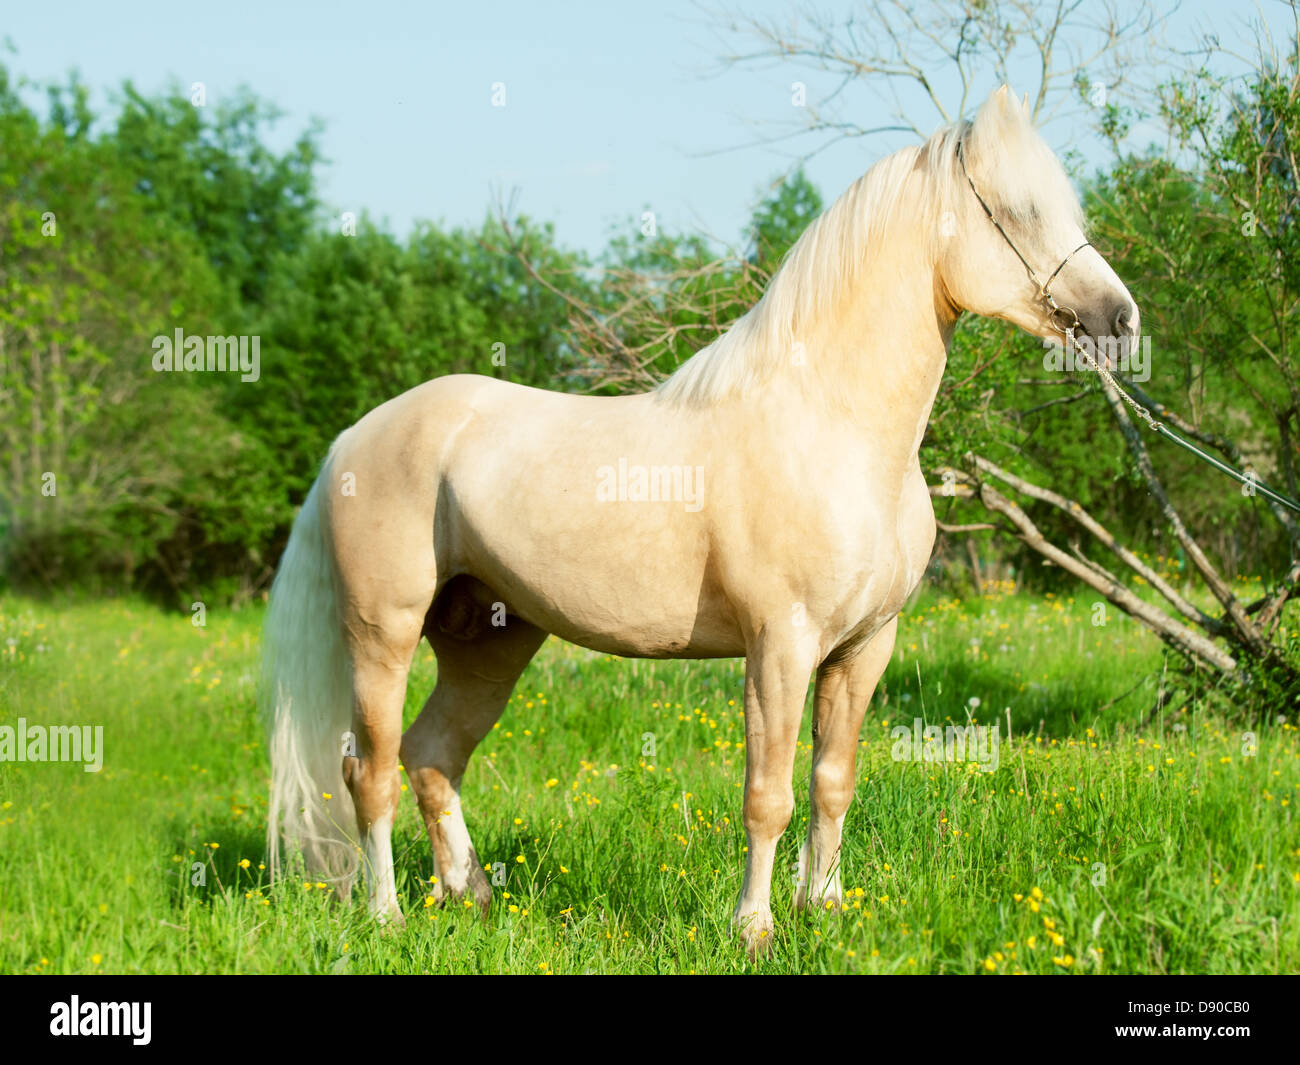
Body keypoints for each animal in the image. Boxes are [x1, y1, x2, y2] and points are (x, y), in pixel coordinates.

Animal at [262, 84, 1140, 955]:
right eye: (1018, 209)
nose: (1120, 320)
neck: (833, 425)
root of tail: (355, 438)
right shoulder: (779, 646)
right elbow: (768, 794)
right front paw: (754, 927)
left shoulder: (863, 646)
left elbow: (832, 780)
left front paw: (824, 907)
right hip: (384, 633)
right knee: (369, 770)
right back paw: (386, 914)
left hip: (490, 640)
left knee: (434, 755)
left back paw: (471, 895)